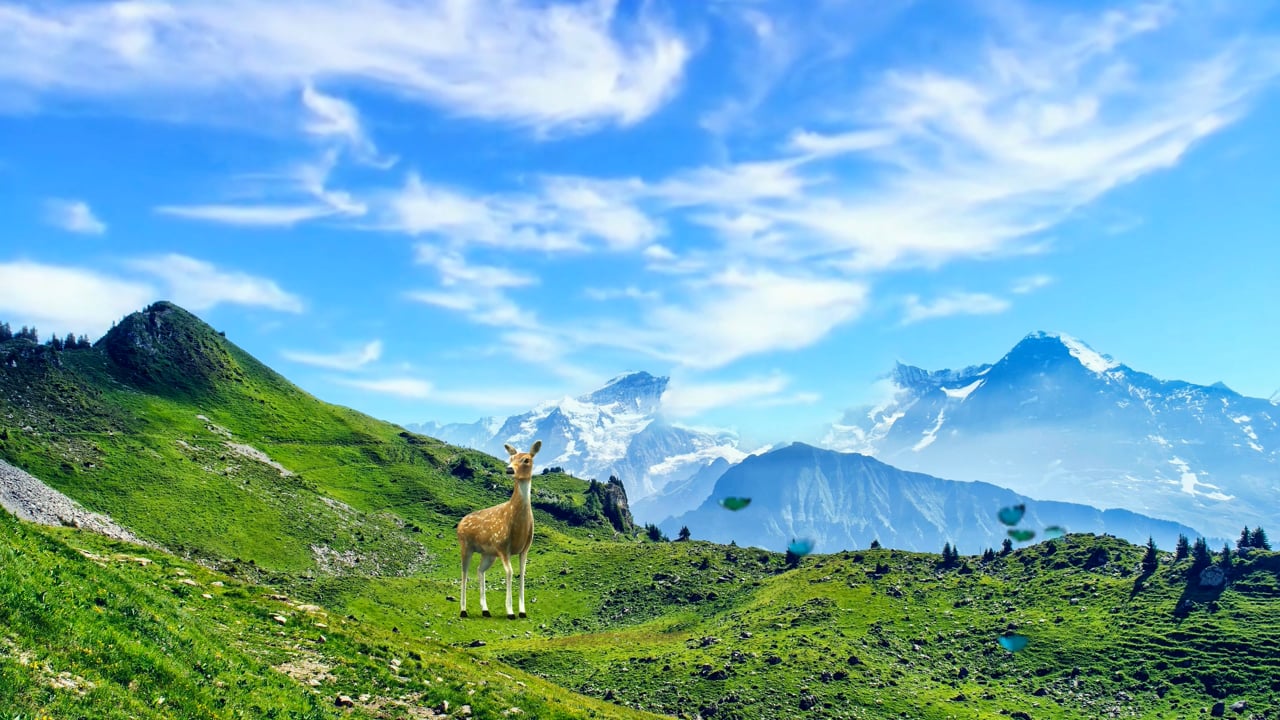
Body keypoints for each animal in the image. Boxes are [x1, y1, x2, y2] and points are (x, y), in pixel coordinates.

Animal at [456, 440, 541, 620]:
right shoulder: (502, 546)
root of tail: (460, 522)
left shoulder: (525, 548)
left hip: (488, 554)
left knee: (479, 570)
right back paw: (463, 610)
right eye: (510, 458)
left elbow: (522, 573)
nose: (509, 469)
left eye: (526, 459)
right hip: (466, 546)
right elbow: (509, 572)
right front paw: (510, 612)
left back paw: (485, 610)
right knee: (464, 573)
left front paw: (522, 611)